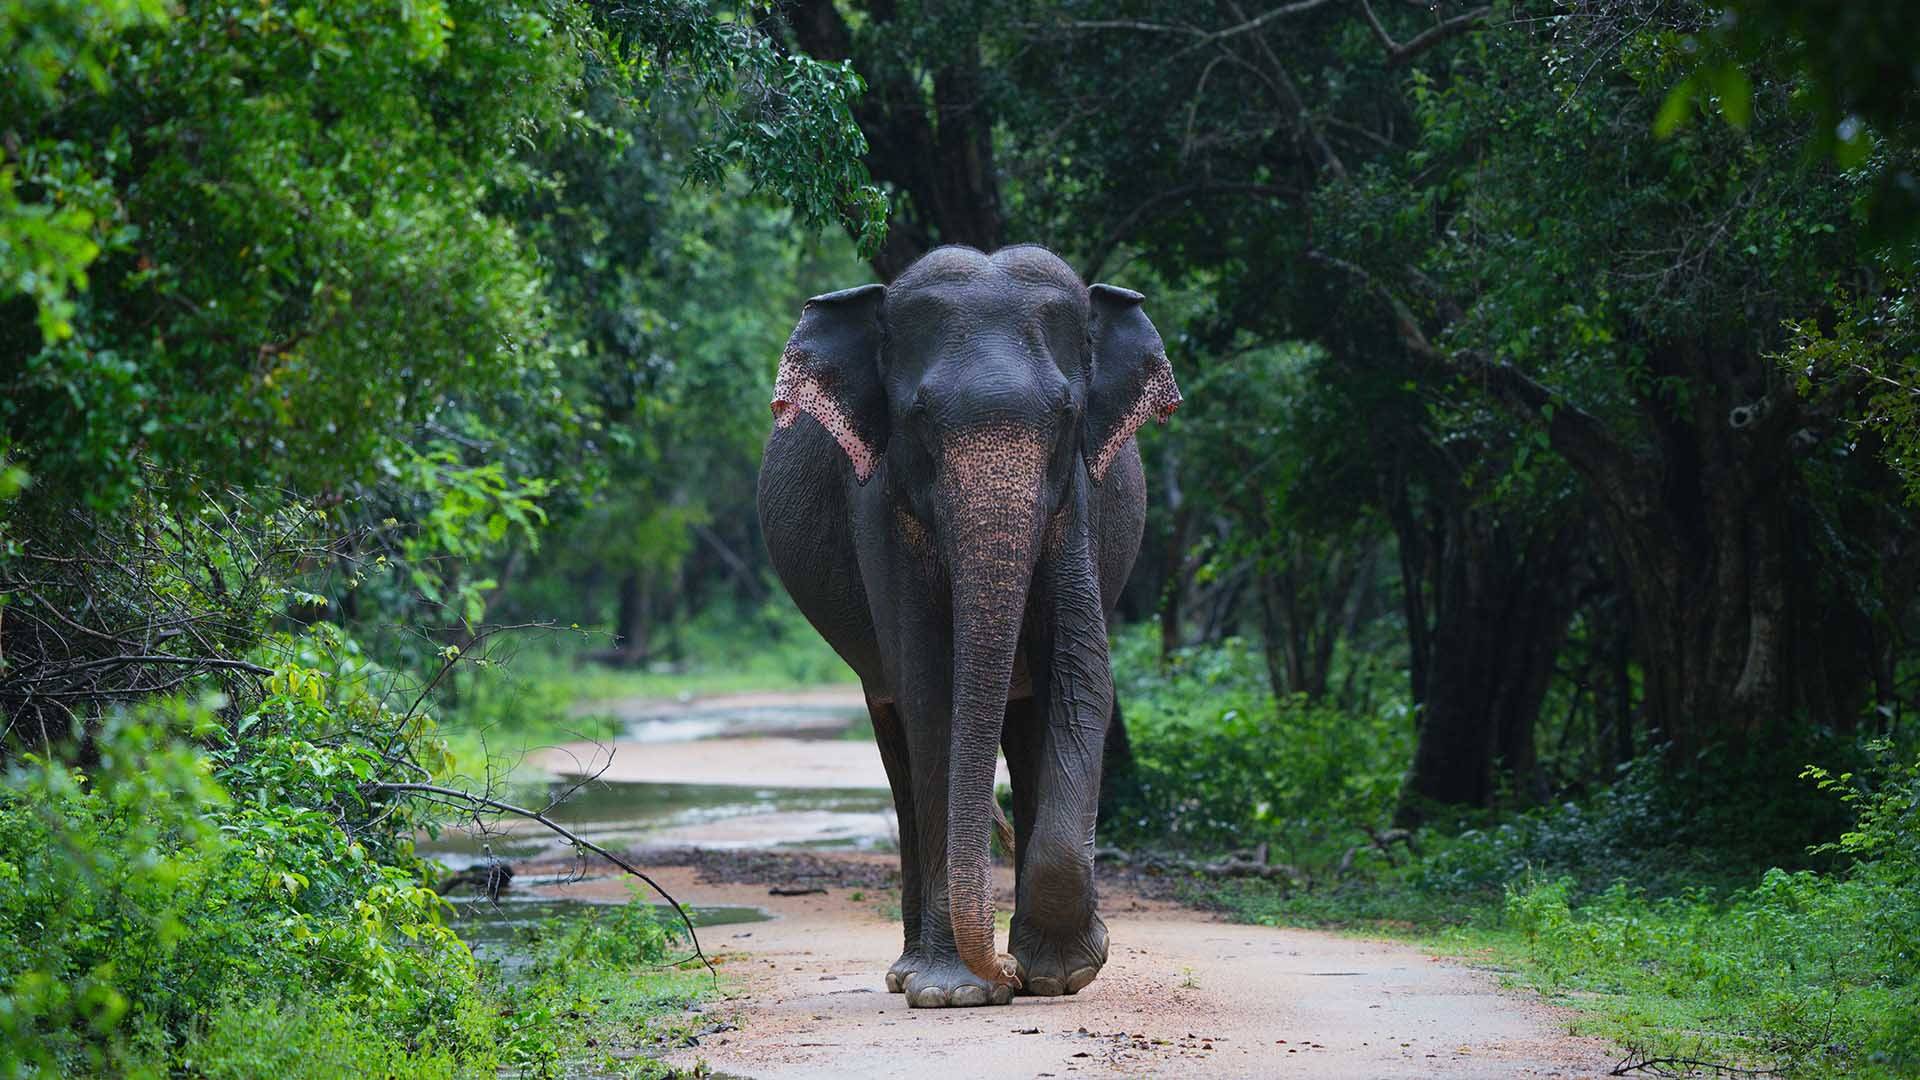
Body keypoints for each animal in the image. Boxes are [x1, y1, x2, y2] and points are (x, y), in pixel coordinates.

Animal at [756, 244, 1181, 1008]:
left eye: (1067, 412)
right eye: (919, 415)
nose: (1003, 976)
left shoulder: (1076, 497)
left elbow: (1079, 674)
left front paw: (1061, 974)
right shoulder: (881, 506)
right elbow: (931, 689)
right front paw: (955, 993)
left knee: (1027, 720)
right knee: (898, 736)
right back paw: (908, 974)